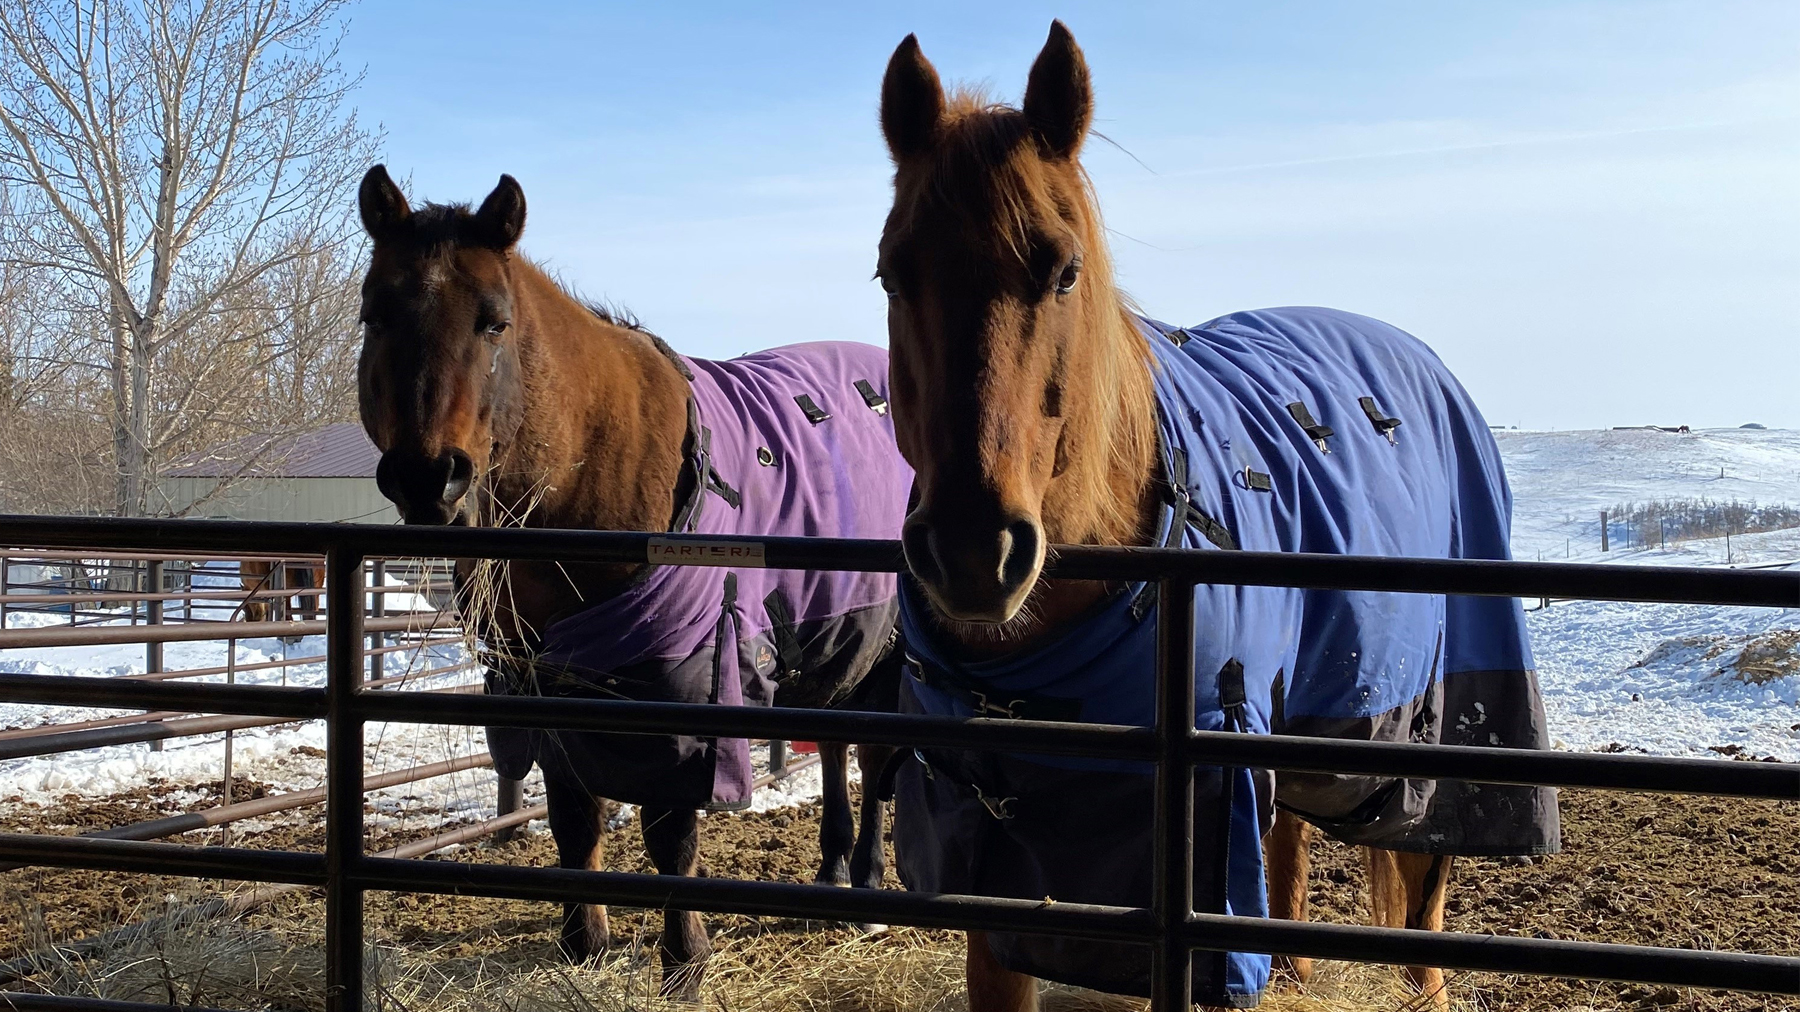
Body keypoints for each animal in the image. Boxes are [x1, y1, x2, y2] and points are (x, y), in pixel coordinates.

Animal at [353, 166, 911, 1000]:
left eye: (494, 322)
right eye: (374, 313)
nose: (428, 477)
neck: (589, 477)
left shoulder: (686, 690)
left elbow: (670, 832)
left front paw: (683, 960)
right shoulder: (549, 687)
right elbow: (574, 818)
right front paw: (585, 943)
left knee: (873, 761)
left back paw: (868, 890)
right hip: (831, 641)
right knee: (840, 749)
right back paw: (832, 871)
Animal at [875, 23, 1558, 1011]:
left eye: (1065, 271)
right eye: (894, 272)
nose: (974, 552)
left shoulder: (1199, 851)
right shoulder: (991, 857)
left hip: (1436, 722)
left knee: (1424, 880)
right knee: (1294, 843)